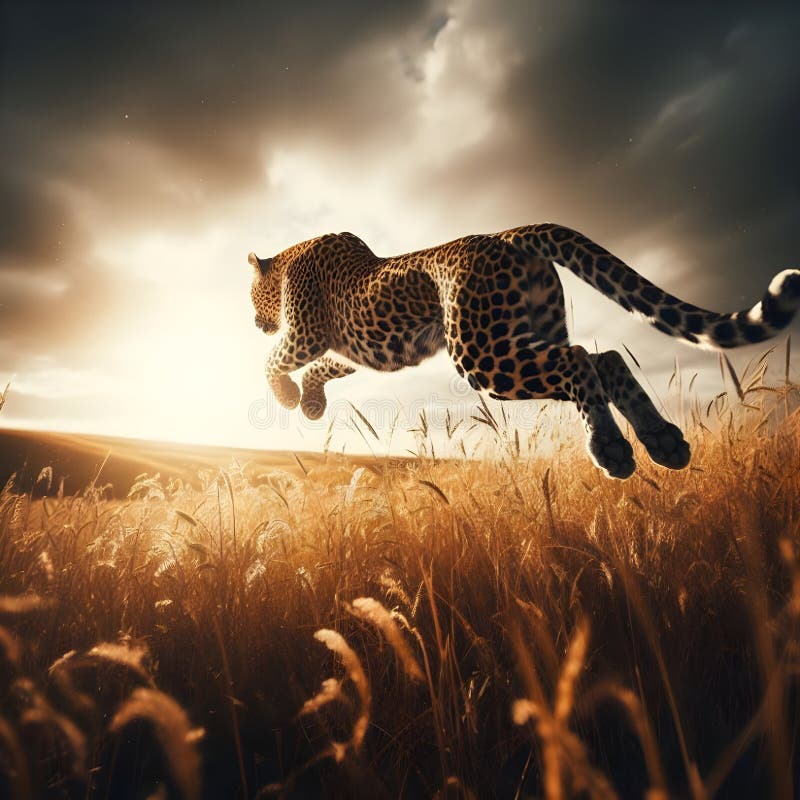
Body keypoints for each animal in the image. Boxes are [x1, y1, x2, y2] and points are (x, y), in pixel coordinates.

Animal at [247, 224, 799, 479]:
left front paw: (285, 396)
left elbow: (272, 360)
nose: (254, 322)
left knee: (580, 361)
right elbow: (322, 367)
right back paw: (662, 441)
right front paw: (311, 403)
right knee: (603, 360)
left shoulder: (305, 330)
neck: (292, 257)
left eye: (253, 298)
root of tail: (507, 235)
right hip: (531, 330)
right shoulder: (343, 348)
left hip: (484, 351)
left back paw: (612, 449)